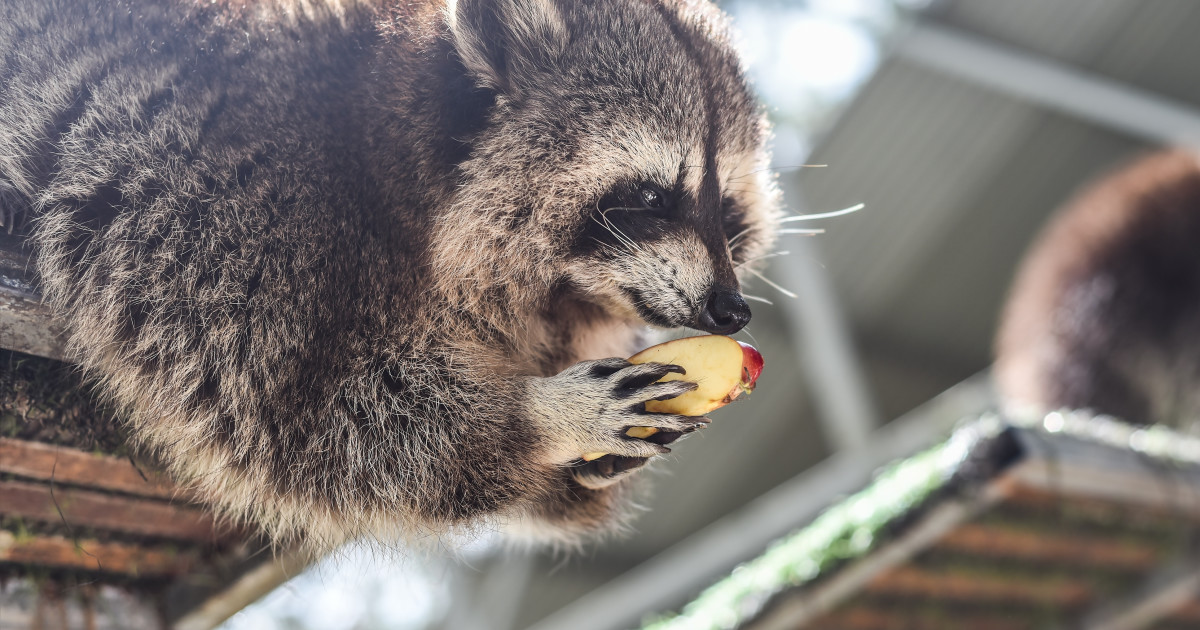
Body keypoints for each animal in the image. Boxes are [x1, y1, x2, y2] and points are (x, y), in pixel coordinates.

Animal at [0, 0, 779, 546]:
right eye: (651, 198)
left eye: (728, 212)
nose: (731, 310)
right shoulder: (233, 192)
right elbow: (300, 411)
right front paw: (535, 419)